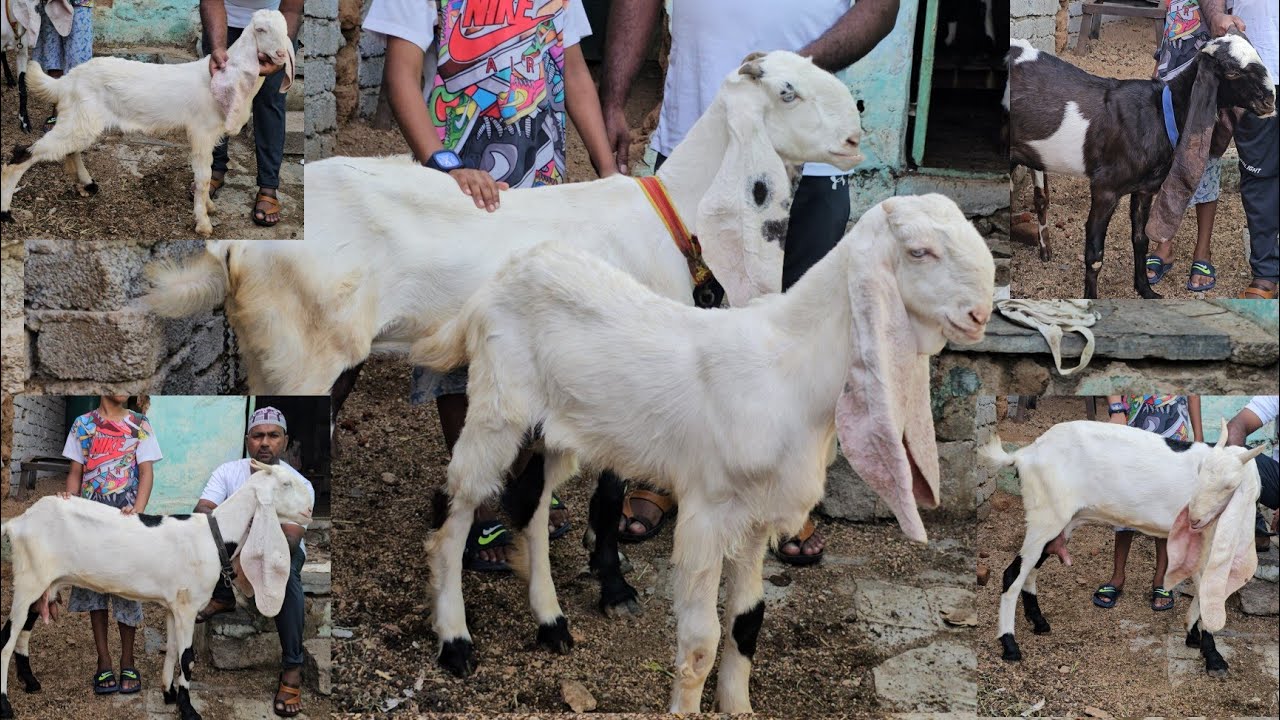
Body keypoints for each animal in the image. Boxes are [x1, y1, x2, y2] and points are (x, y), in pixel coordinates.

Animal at [0, 9, 295, 236]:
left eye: (285, 30)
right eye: (260, 29)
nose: (281, 54)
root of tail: (67, 80)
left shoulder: (212, 135)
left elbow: (209, 173)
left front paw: (209, 206)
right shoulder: (201, 132)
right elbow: (203, 177)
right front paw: (203, 223)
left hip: (80, 118)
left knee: (70, 149)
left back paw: (86, 184)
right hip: (79, 119)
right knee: (25, 154)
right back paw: (5, 210)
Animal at [0, 460, 314, 720]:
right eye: (286, 483)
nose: (310, 511)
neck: (214, 535)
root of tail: (18, 522)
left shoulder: (174, 606)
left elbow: (173, 649)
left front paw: (169, 694)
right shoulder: (188, 607)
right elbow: (187, 658)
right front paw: (188, 710)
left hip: (44, 583)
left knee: (23, 630)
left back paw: (31, 682)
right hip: (29, 581)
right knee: (6, 638)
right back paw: (5, 705)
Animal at [412, 193, 995, 712]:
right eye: (920, 251)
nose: (981, 314)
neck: (786, 368)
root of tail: (505, 275)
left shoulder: (756, 517)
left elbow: (748, 621)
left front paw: (738, 707)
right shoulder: (708, 513)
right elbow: (700, 641)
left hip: (554, 430)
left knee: (531, 506)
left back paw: (551, 623)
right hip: (498, 409)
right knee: (453, 513)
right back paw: (456, 643)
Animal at [982, 419, 1266, 676]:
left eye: (1229, 486)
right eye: (1200, 473)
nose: (1192, 518)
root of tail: (1026, 453)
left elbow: (1201, 591)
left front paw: (1193, 636)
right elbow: (1207, 592)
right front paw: (1214, 658)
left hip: (1058, 521)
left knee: (1031, 569)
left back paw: (1039, 622)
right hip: (1046, 516)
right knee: (1012, 574)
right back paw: (1009, 644)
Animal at [1006, 35, 1275, 298]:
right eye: (1232, 72)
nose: (1270, 101)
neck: (1159, 112)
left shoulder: (1144, 188)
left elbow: (1141, 239)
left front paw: (1146, 290)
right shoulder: (1105, 188)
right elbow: (1095, 255)